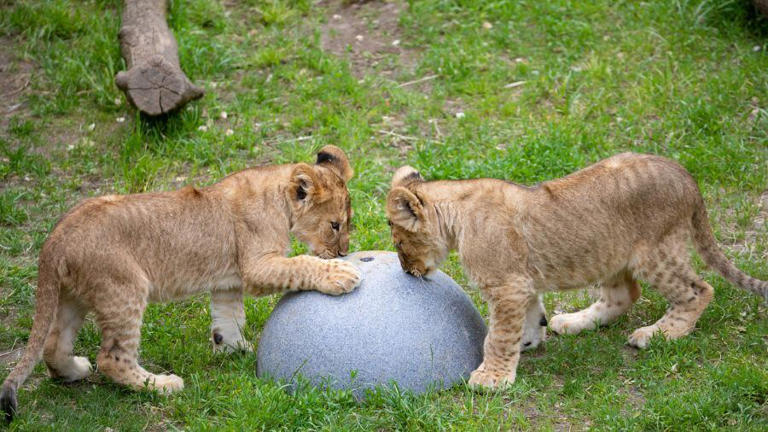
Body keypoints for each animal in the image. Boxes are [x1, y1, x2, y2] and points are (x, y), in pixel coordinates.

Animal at [1, 146, 361, 422]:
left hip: (74, 295)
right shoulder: (257, 268)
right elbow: (302, 263)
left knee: (53, 344)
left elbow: (229, 318)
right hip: (124, 288)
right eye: (335, 225)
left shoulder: (228, 281)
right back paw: (161, 385)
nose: (344, 252)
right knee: (112, 357)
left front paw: (234, 349)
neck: (277, 195)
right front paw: (341, 274)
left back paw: (74, 370)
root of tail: (55, 239)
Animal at [385, 152, 767, 390]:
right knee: (625, 294)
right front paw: (529, 340)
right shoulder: (520, 284)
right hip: (609, 253)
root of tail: (687, 177)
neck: (457, 214)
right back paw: (573, 322)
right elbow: (529, 314)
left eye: (399, 242)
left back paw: (660, 333)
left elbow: (499, 335)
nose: (407, 270)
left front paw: (492, 377)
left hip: (654, 254)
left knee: (699, 290)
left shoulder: (506, 285)